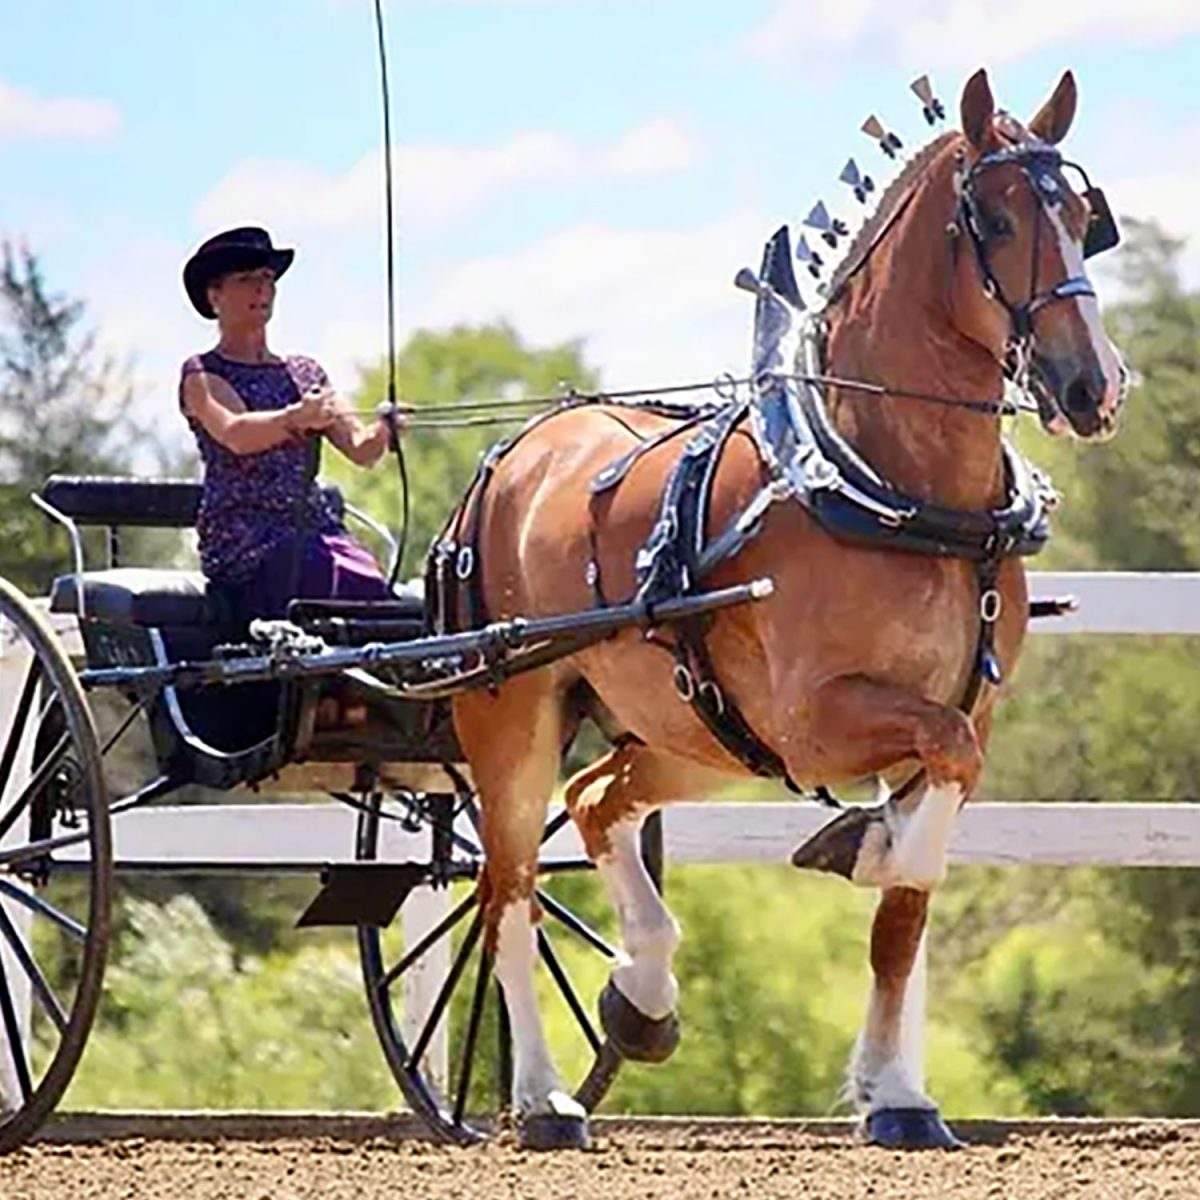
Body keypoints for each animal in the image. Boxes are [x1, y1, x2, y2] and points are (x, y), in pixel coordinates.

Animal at [445, 68, 1127, 1150]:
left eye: (1082, 217)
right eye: (995, 216)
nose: (1092, 384)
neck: (894, 489)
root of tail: (519, 451)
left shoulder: (963, 712)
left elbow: (906, 910)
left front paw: (897, 1094)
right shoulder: (817, 721)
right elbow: (923, 809)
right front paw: (867, 841)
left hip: (697, 735)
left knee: (597, 799)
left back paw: (642, 994)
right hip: (515, 713)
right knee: (508, 893)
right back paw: (544, 1098)